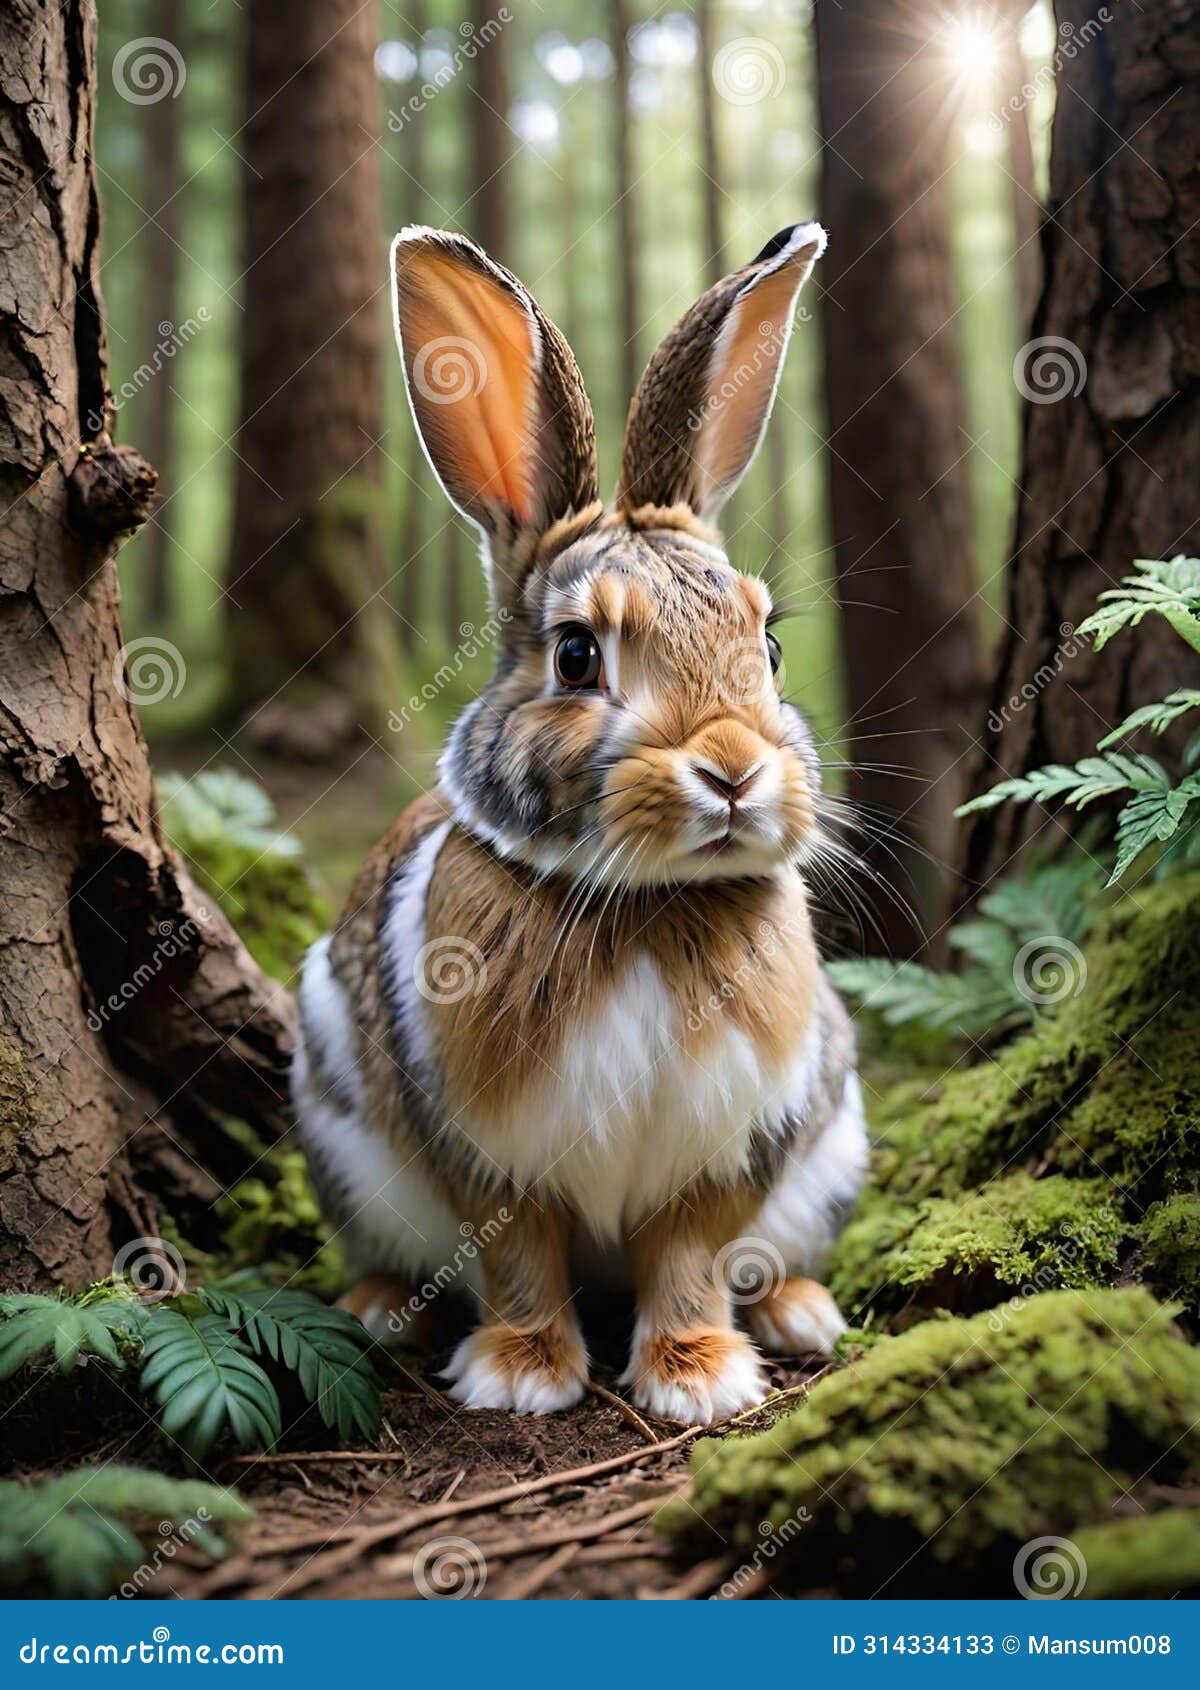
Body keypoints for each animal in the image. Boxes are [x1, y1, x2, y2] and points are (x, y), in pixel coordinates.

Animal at [293, 220, 868, 1425]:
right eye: (574, 655)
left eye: (767, 644)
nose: (734, 771)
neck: (644, 905)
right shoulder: (492, 1161)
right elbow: (520, 1255)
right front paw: (520, 1376)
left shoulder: (724, 1153)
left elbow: (689, 1256)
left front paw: (698, 1379)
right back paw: (374, 1308)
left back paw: (800, 1311)